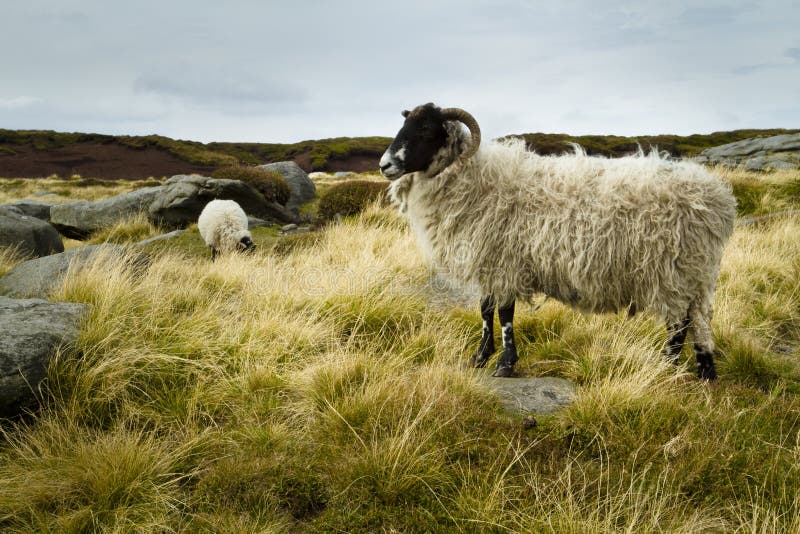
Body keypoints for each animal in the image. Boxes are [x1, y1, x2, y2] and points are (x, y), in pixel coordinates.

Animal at [379, 103, 736, 379]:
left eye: (427, 131)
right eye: (404, 126)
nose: (384, 165)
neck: (475, 178)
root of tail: (718, 200)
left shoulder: (506, 262)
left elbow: (505, 314)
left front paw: (505, 364)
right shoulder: (491, 263)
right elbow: (485, 309)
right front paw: (480, 357)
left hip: (673, 270)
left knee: (679, 324)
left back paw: (666, 368)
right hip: (695, 273)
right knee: (698, 320)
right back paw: (704, 371)